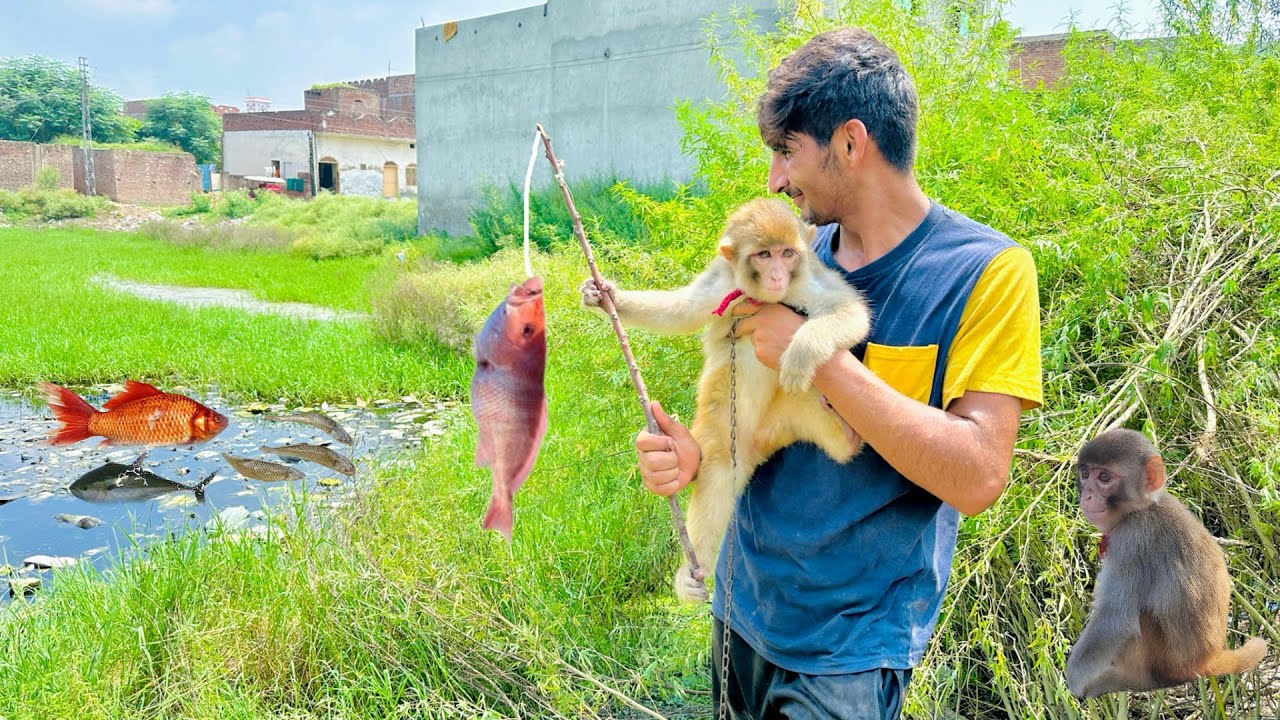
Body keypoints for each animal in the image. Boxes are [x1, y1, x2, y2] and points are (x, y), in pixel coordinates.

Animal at [582, 197, 872, 602]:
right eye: (764, 255)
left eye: (787, 254)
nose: (778, 276)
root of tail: (761, 443)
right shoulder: (722, 279)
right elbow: (682, 309)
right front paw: (608, 296)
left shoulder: (809, 278)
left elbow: (849, 311)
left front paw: (801, 351)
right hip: (734, 434)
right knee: (718, 469)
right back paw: (692, 574)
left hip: (794, 412)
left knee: (812, 403)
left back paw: (845, 435)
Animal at [1065, 428, 1267, 699]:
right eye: (1085, 473)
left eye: (1104, 477)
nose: (1087, 494)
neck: (1143, 508)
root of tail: (1206, 661)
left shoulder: (1134, 542)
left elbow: (1115, 620)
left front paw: (1074, 680)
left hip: (1163, 663)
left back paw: (1131, 680)